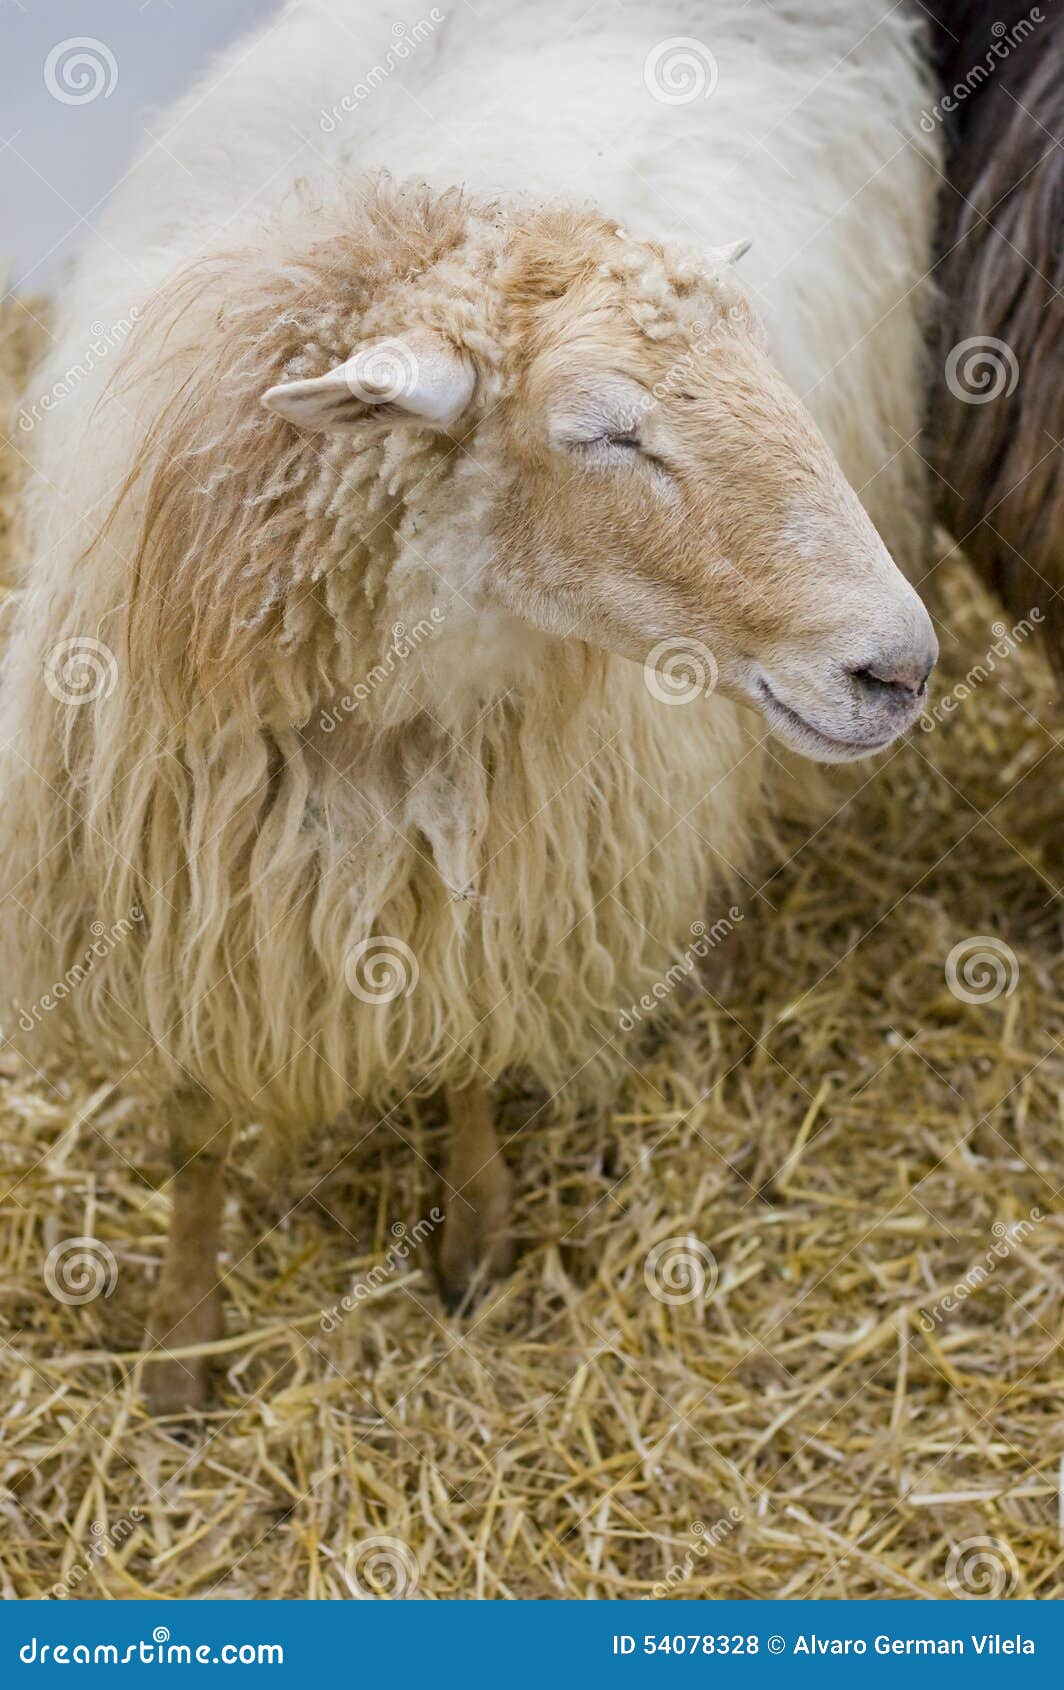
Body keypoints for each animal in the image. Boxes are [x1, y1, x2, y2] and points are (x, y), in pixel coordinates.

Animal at [0, 0, 940, 1411]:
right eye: (604, 431)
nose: (899, 665)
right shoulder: (170, 899)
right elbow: (193, 1132)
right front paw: (178, 1345)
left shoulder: (504, 874)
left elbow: (469, 1060)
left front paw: (477, 1238)